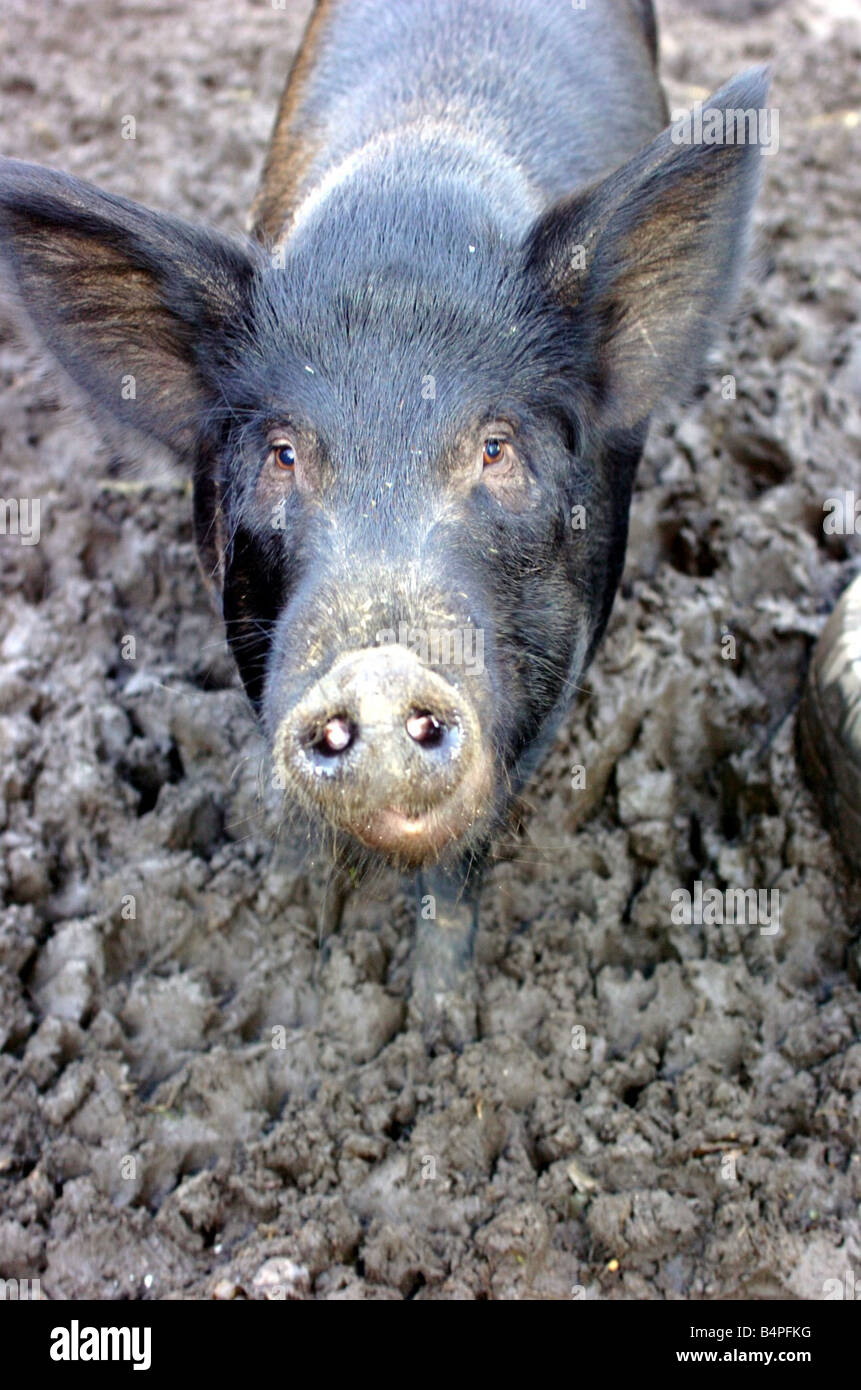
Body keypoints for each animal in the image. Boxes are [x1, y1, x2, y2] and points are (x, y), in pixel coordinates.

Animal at [0, 0, 768, 1044]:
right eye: (283, 452)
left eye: (496, 446)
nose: (375, 667)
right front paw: (298, 953)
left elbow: (460, 863)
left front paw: (444, 1029)